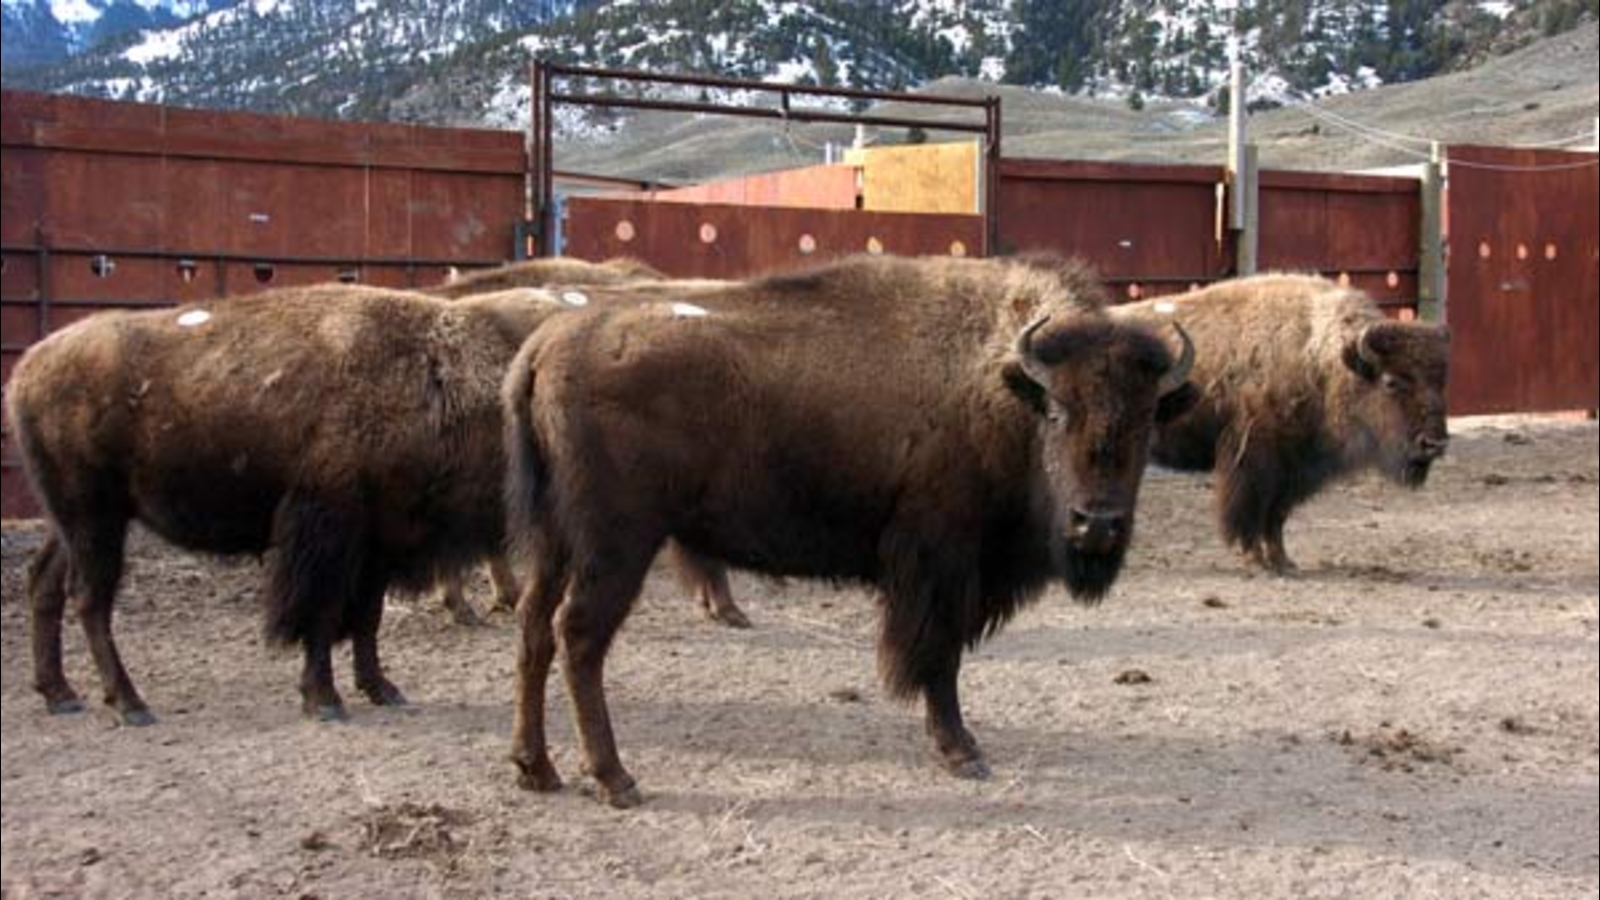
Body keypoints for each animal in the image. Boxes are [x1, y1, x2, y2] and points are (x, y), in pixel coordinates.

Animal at [502, 254, 1196, 807]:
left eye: (1147, 420)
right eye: (1057, 411)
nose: (1097, 524)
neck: (999, 380)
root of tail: (545, 346)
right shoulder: (942, 565)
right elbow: (938, 659)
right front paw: (961, 751)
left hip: (555, 541)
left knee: (535, 628)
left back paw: (537, 770)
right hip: (615, 545)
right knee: (578, 635)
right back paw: (615, 779)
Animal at [1122, 273, 1450, 572]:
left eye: (1440, 382)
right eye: (1390, 382)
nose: (1434, 444)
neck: (1320, 358)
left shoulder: (1293, 473)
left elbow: (1275, 517)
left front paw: (1283, 561)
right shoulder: (1254, 465)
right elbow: (1249, 512)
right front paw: (1256, 559)